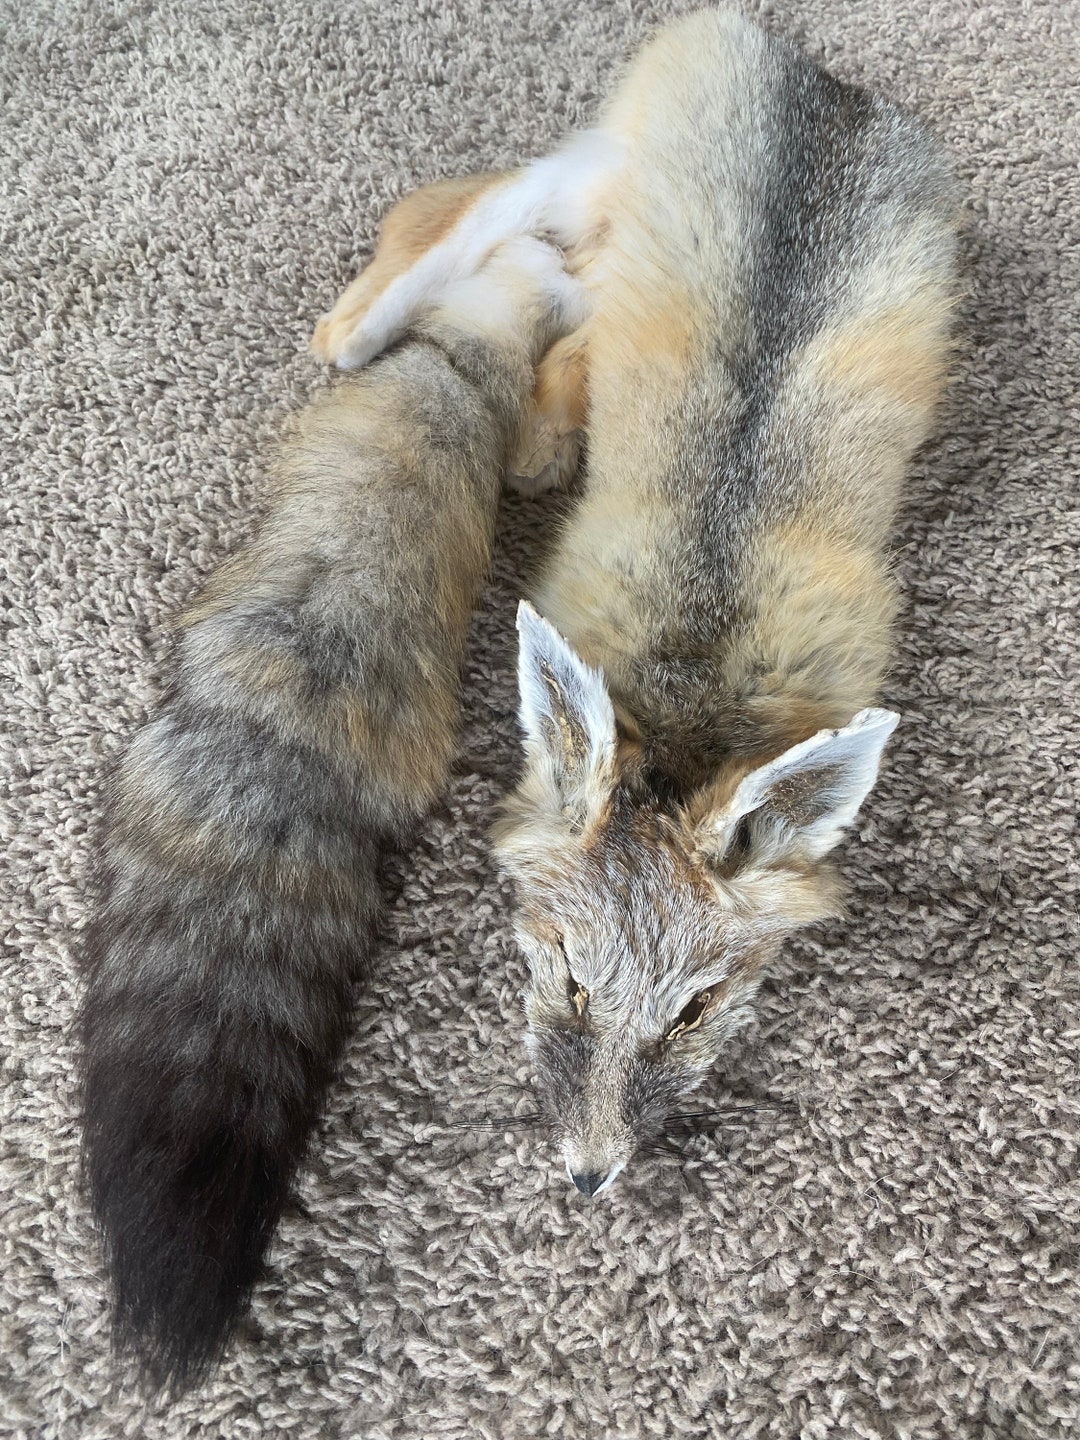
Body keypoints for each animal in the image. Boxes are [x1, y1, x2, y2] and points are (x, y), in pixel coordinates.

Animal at [314, 10, 960, 1198]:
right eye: (570, 979)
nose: (588, 1176)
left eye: (694, 1011)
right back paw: (362, 330)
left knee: (558, 293)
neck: (698, 682)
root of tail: (826, 80)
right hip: (584, 180)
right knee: (471, 209)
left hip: (614, 248)